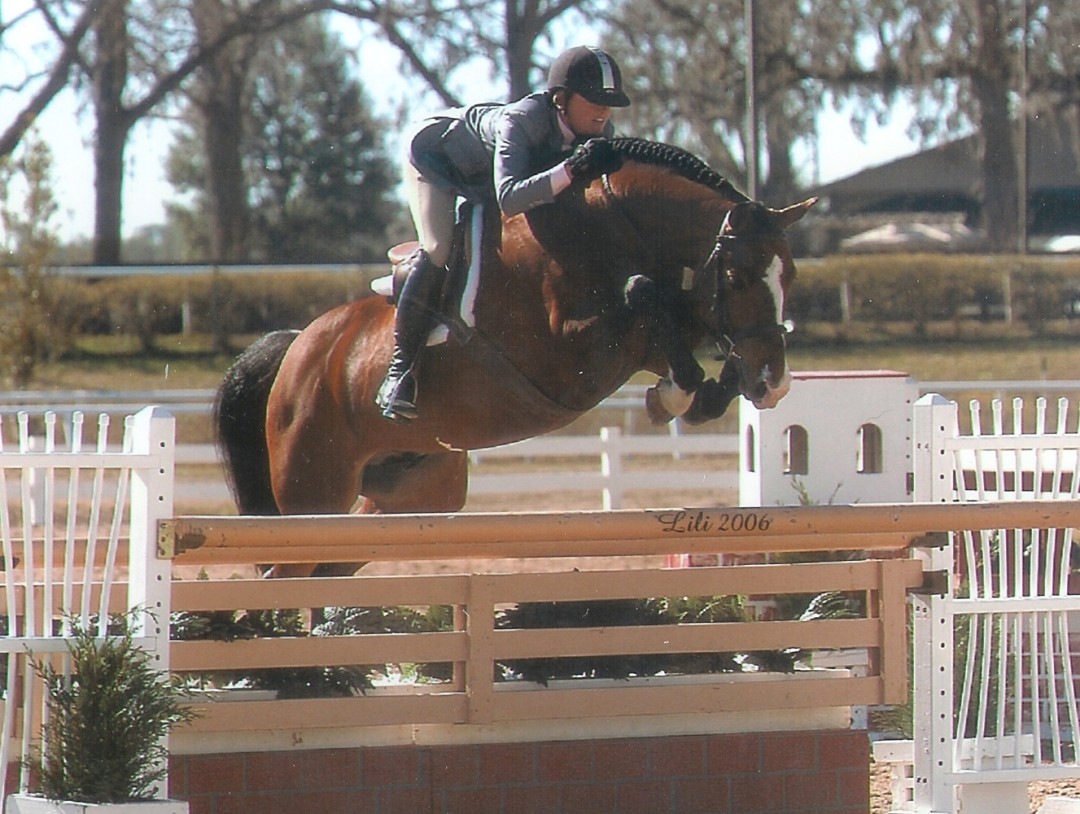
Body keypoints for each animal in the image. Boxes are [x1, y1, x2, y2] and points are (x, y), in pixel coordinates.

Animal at [214, 138, 816, 575]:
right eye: (738, 278)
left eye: (789, 276)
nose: (774, 383)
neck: (608, 224)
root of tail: (297, 348)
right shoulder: (568, 361)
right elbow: (645, 297)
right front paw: (679, 391)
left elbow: (676, 315)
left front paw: (701, 388)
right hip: (314, 489)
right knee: (287, 572)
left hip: (414, 494)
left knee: (330, 566)